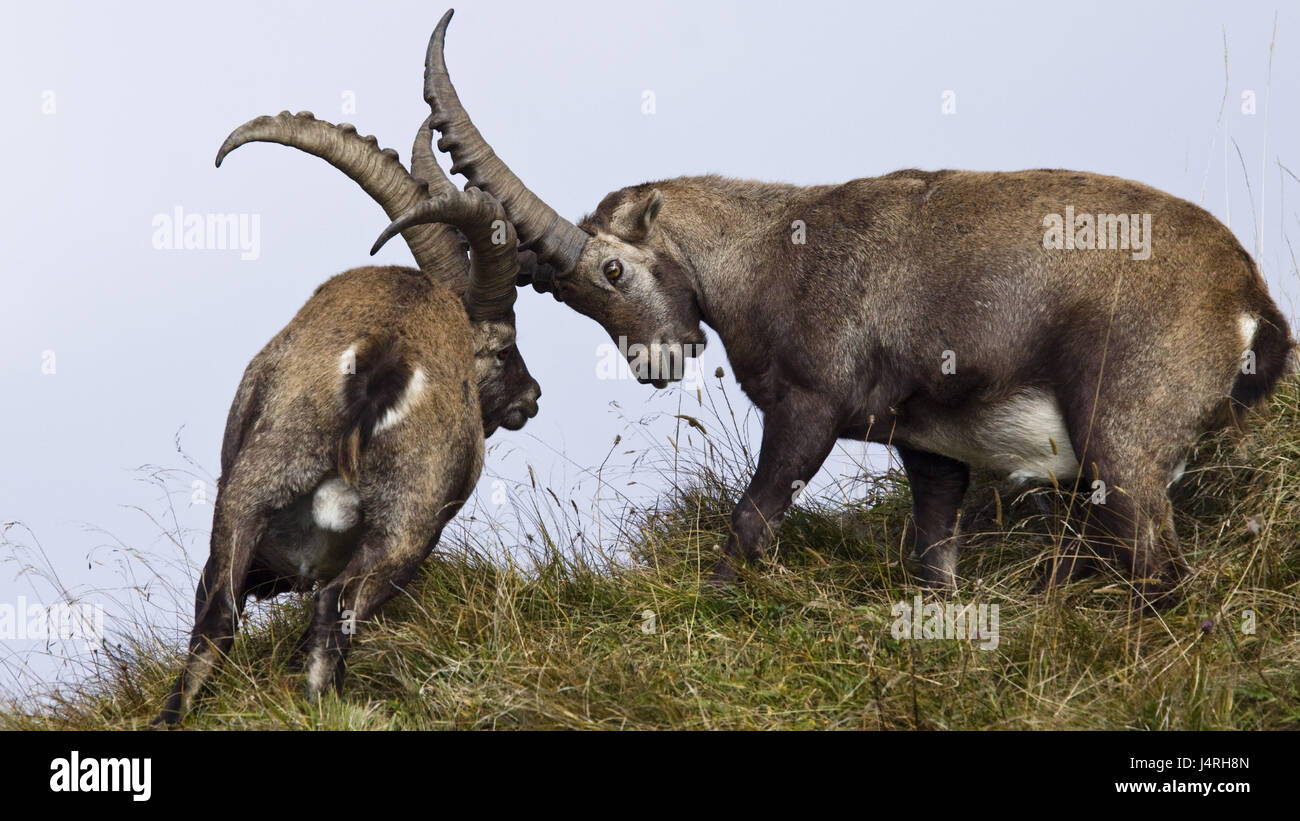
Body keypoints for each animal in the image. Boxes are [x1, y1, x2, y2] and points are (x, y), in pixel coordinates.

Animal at [155, 110, 540, 724]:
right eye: (505, 349)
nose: (531, 396)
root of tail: (385, 358)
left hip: (255, 486)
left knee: (218, 614)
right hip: (408, 528)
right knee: (333, 610)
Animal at [378, 10, 1295, 608]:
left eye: (610, 267)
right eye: (566, 292)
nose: (657, 361)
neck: (766, 253)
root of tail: (1246, 298)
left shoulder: (809, 410)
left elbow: (750, 521)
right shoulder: (930, 445)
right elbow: (934, 559)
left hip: (1123, 441)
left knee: (1164, 574)